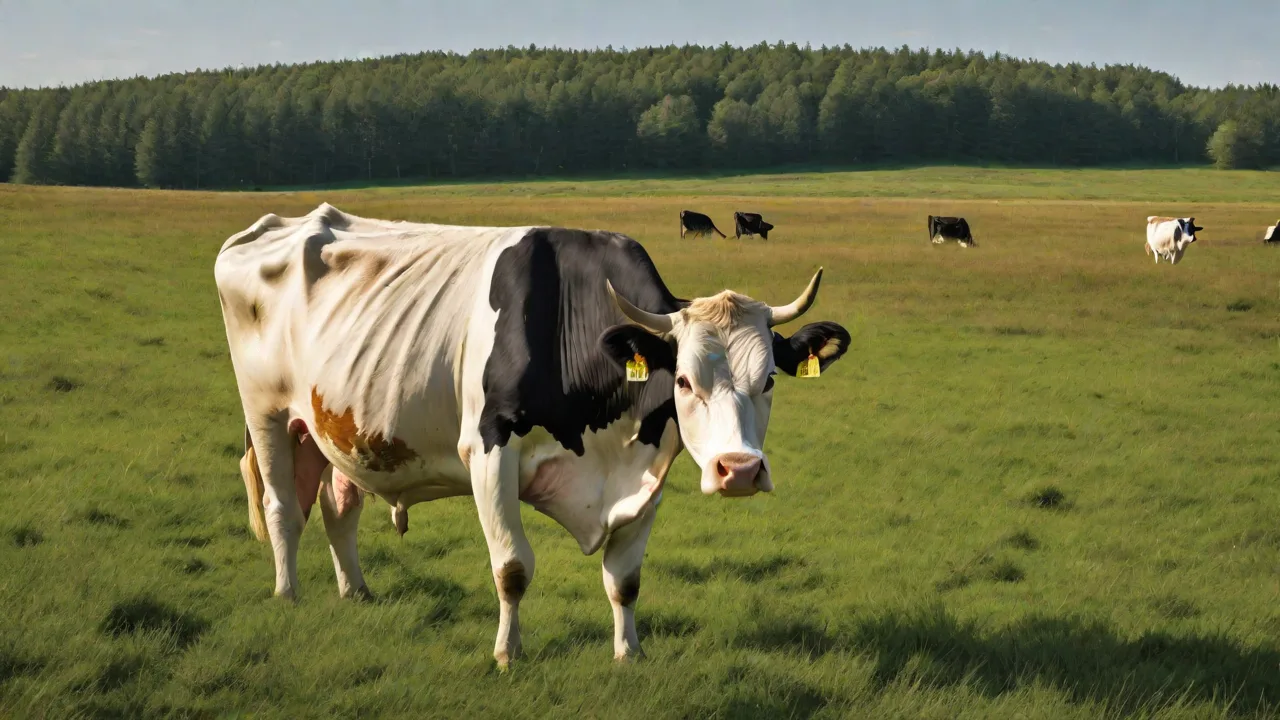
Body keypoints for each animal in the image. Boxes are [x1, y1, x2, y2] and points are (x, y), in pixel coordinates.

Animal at [215, 203, 851, 667]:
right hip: (267, 412)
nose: (738, 471)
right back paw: (288, 594)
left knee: (337, 507)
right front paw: (508, 654)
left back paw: (356, 591)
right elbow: (513, 567)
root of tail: (273, 225)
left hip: (336, 427)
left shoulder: (648, 472)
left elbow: (624, 580)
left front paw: (629, 653)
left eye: (769, 379)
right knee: (281, 507)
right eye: (684, 381)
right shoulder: (488, 452)